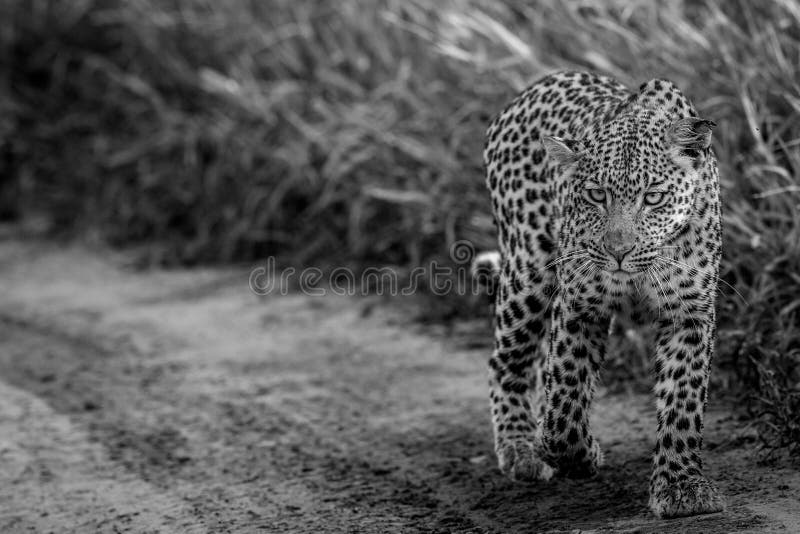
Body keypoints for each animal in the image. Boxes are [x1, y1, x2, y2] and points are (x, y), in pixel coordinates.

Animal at [473, 70, 723, 519]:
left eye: (653, 198)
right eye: (595, 195)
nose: (618, 251)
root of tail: (530, 89)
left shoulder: (689, 313)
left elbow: (683, 401)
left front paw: (681, 487)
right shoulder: (578, 307)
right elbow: (564, 403)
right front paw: (577, 455)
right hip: (527, 272)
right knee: (507, 360)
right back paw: (521, 449)